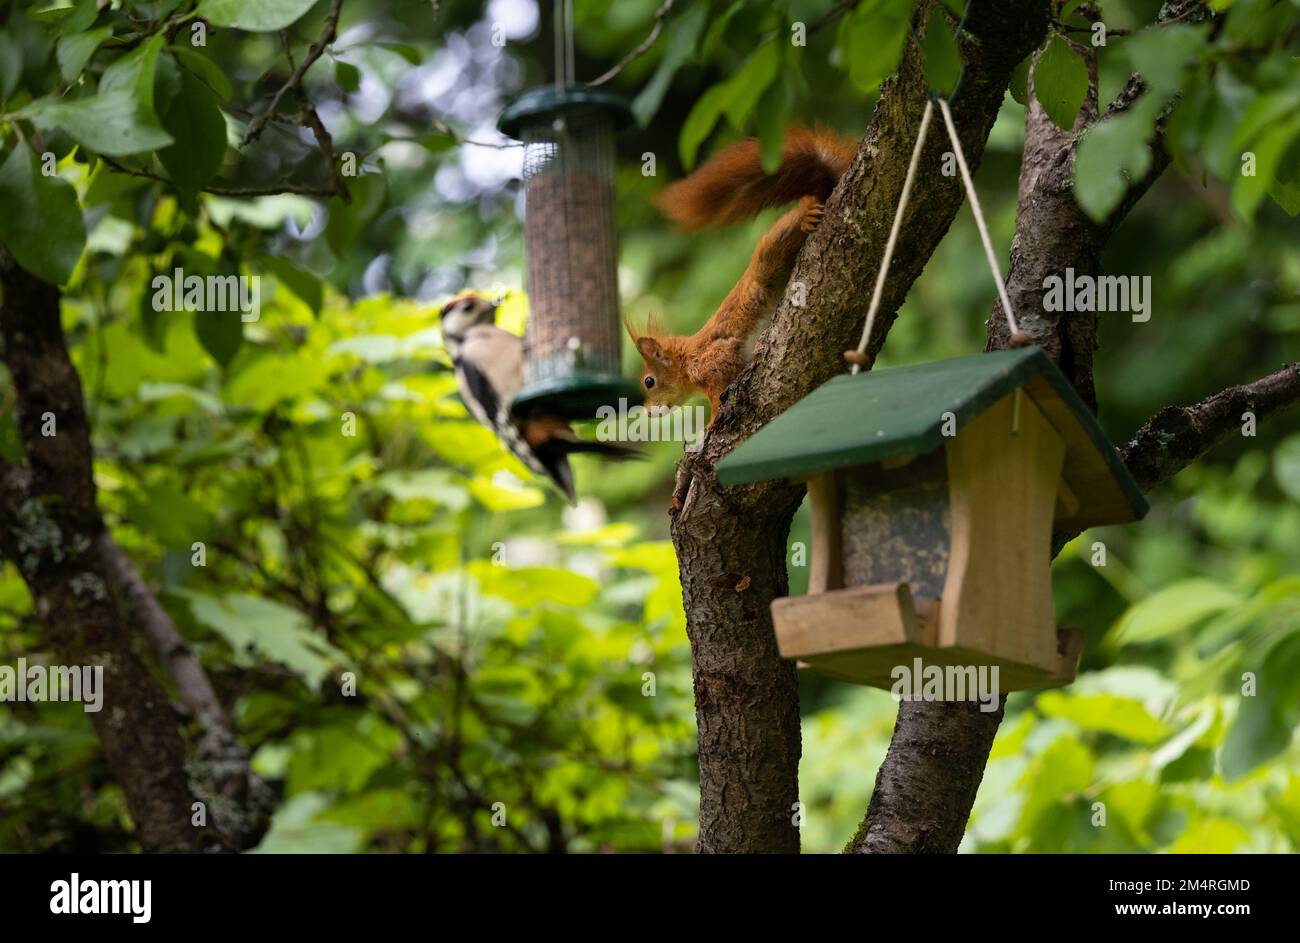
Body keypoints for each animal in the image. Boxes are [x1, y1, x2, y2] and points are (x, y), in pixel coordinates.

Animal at [628, 125, 857, 422]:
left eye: (649, 381)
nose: (647, 413)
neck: (688, 361)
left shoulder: (715, 362)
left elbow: (718, 398)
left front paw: (709, 425)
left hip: (767, 257)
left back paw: (806, 218)